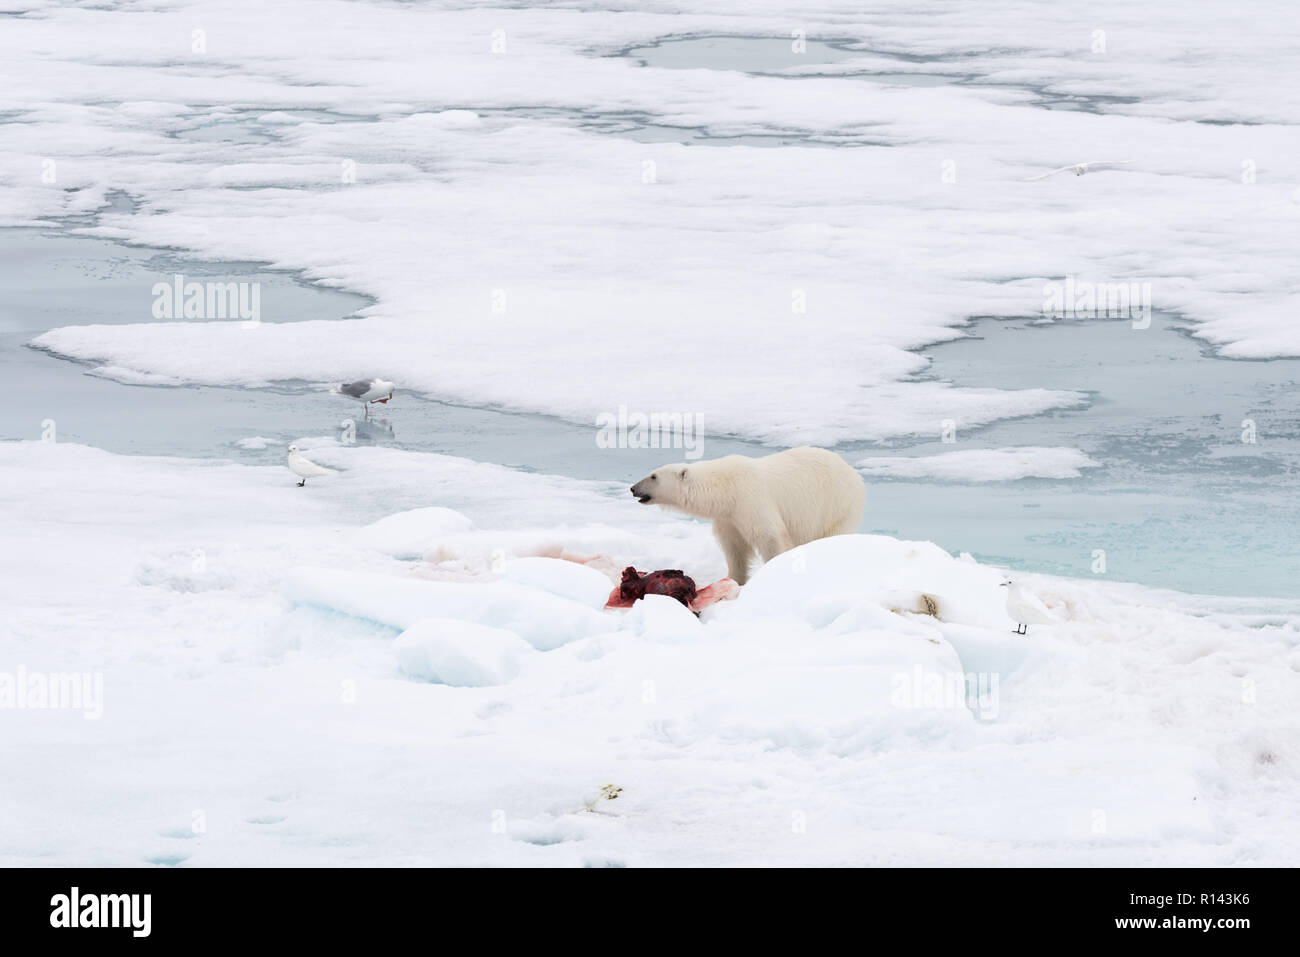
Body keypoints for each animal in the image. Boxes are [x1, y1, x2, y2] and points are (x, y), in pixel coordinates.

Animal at [629, 446, 865, 586]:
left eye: (654, 476)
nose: (633, 488)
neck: (725, 488)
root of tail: (854, 474)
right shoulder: (728, 517)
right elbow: (735, 548)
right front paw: (733, 579)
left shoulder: (750, 500)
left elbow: (771, 536)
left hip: (836, 504)